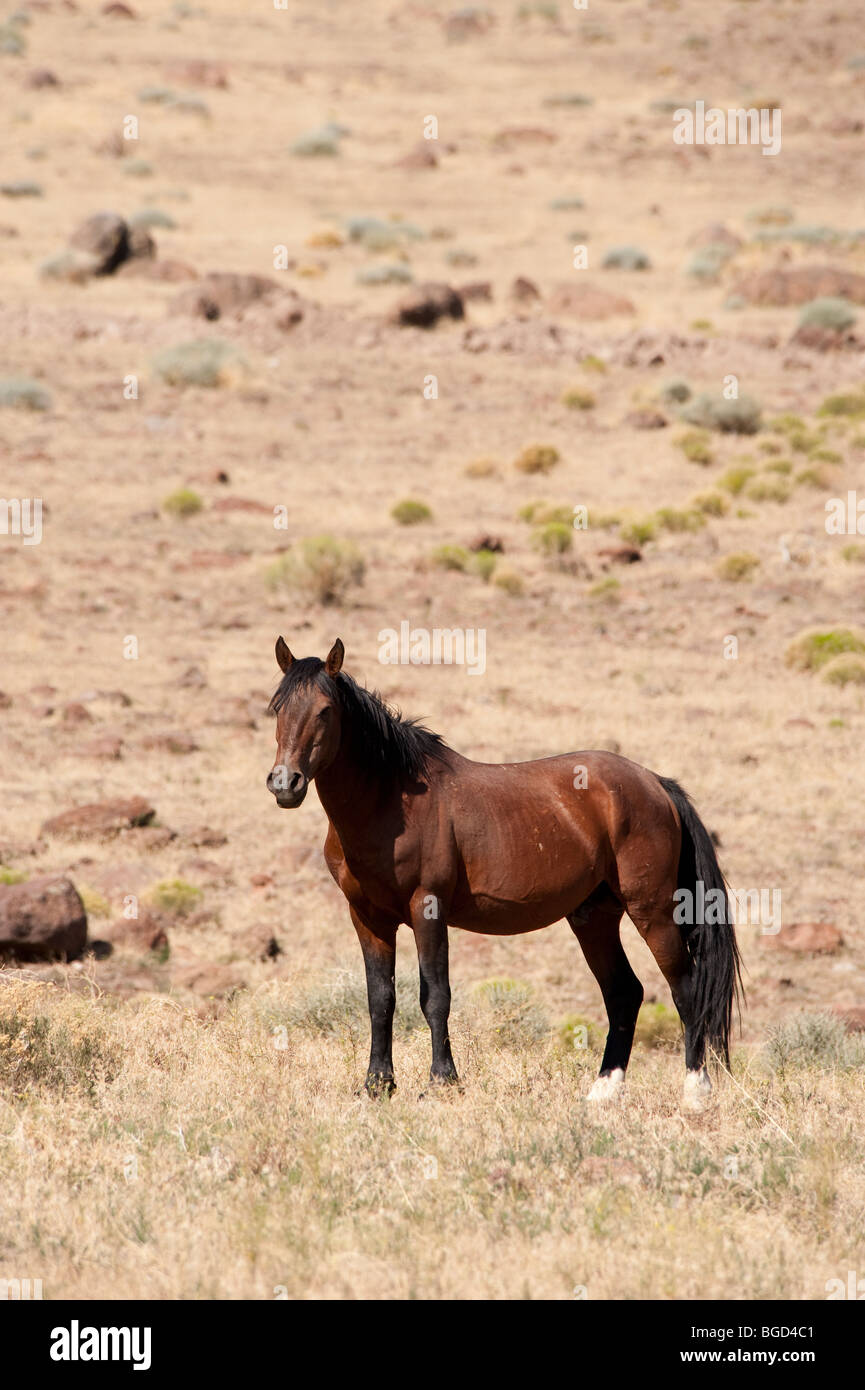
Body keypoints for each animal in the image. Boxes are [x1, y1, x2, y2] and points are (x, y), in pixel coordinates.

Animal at [266, 637, 742, 1110]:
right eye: (277, 707)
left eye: (325, 710)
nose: (285, 782)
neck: (391, 800)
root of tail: (656, 784)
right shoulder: (368, 918)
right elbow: (380, 998)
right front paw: (377, 1085)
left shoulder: (427, 908)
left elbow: (434, 995)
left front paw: (443, 1081)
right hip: (594, 918)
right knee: (624, 993)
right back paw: (603, 1091)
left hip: (653, 913)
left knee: (685, 989)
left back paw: (695, 1092)